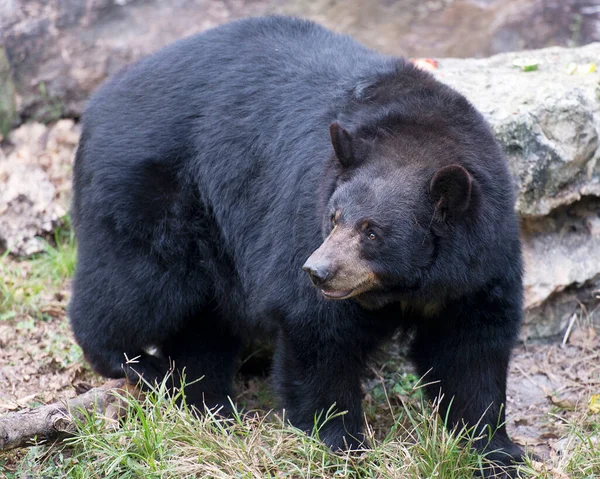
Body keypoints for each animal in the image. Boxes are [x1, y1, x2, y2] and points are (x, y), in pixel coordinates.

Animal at [70, 15, 524, 476]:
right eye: (334, 217)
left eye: (372, 232)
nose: (317, 271)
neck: (409, 285)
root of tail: (101, 98)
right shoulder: (301, 217)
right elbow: (317, 331)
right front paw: (340, 442)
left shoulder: (479, 266)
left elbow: (471, 352)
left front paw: (495, 450)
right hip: (152, 194)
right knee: (139, 286)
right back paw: (135, 363)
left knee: (202, 324)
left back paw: (207, 401)